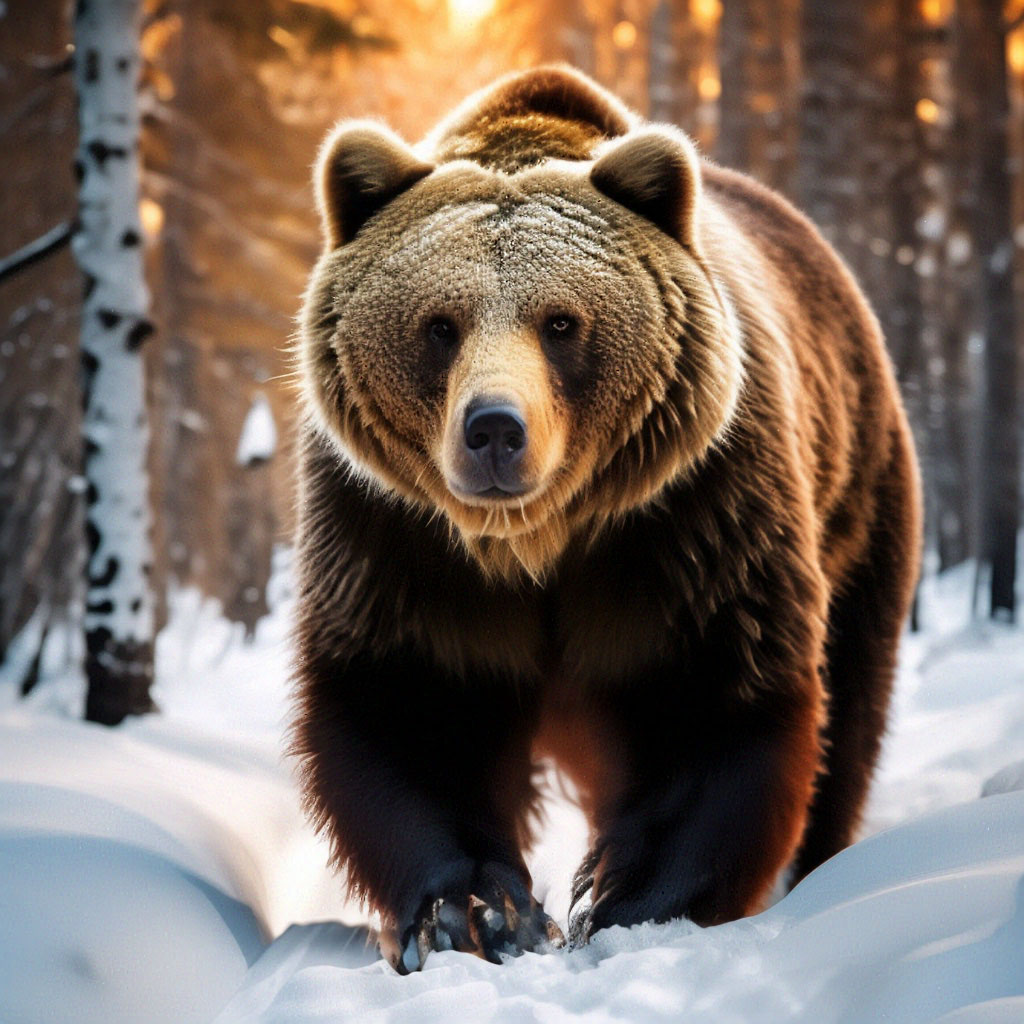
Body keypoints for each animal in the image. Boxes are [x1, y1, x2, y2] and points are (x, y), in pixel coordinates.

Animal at [290, 66, 922, 974]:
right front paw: (475, 912)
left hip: (859, 504)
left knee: (851, 707)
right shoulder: (396, 536)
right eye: (439, 325)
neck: (537, 540)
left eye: (561, 322)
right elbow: (410, 704)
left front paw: (633, 902)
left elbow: (712, 695)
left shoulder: (690, 518)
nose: (494, 429)